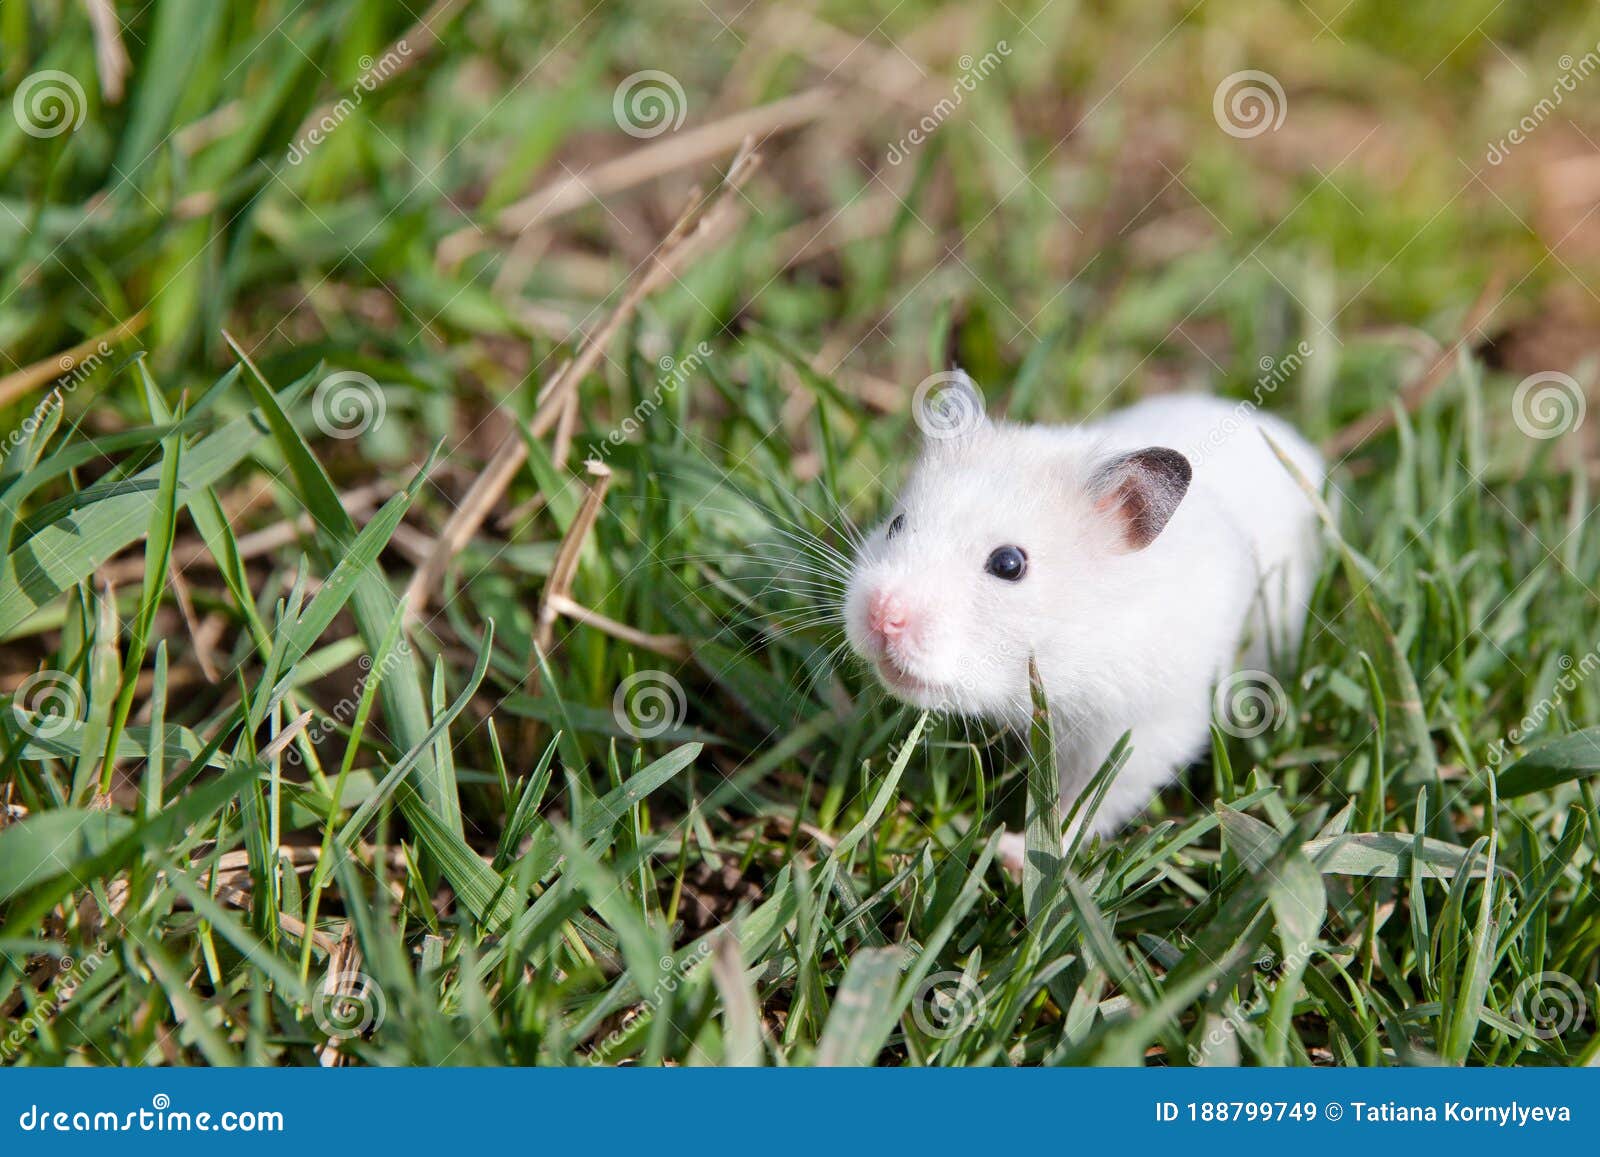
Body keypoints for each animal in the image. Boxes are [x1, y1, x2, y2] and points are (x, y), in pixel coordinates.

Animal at [842, 375, 1325, 865]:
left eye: (1009, 564)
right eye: (896, 524)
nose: (882, 616)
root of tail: (1290, 438)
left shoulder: (1144, 729)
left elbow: (1090, 801)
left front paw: (1014, 855)